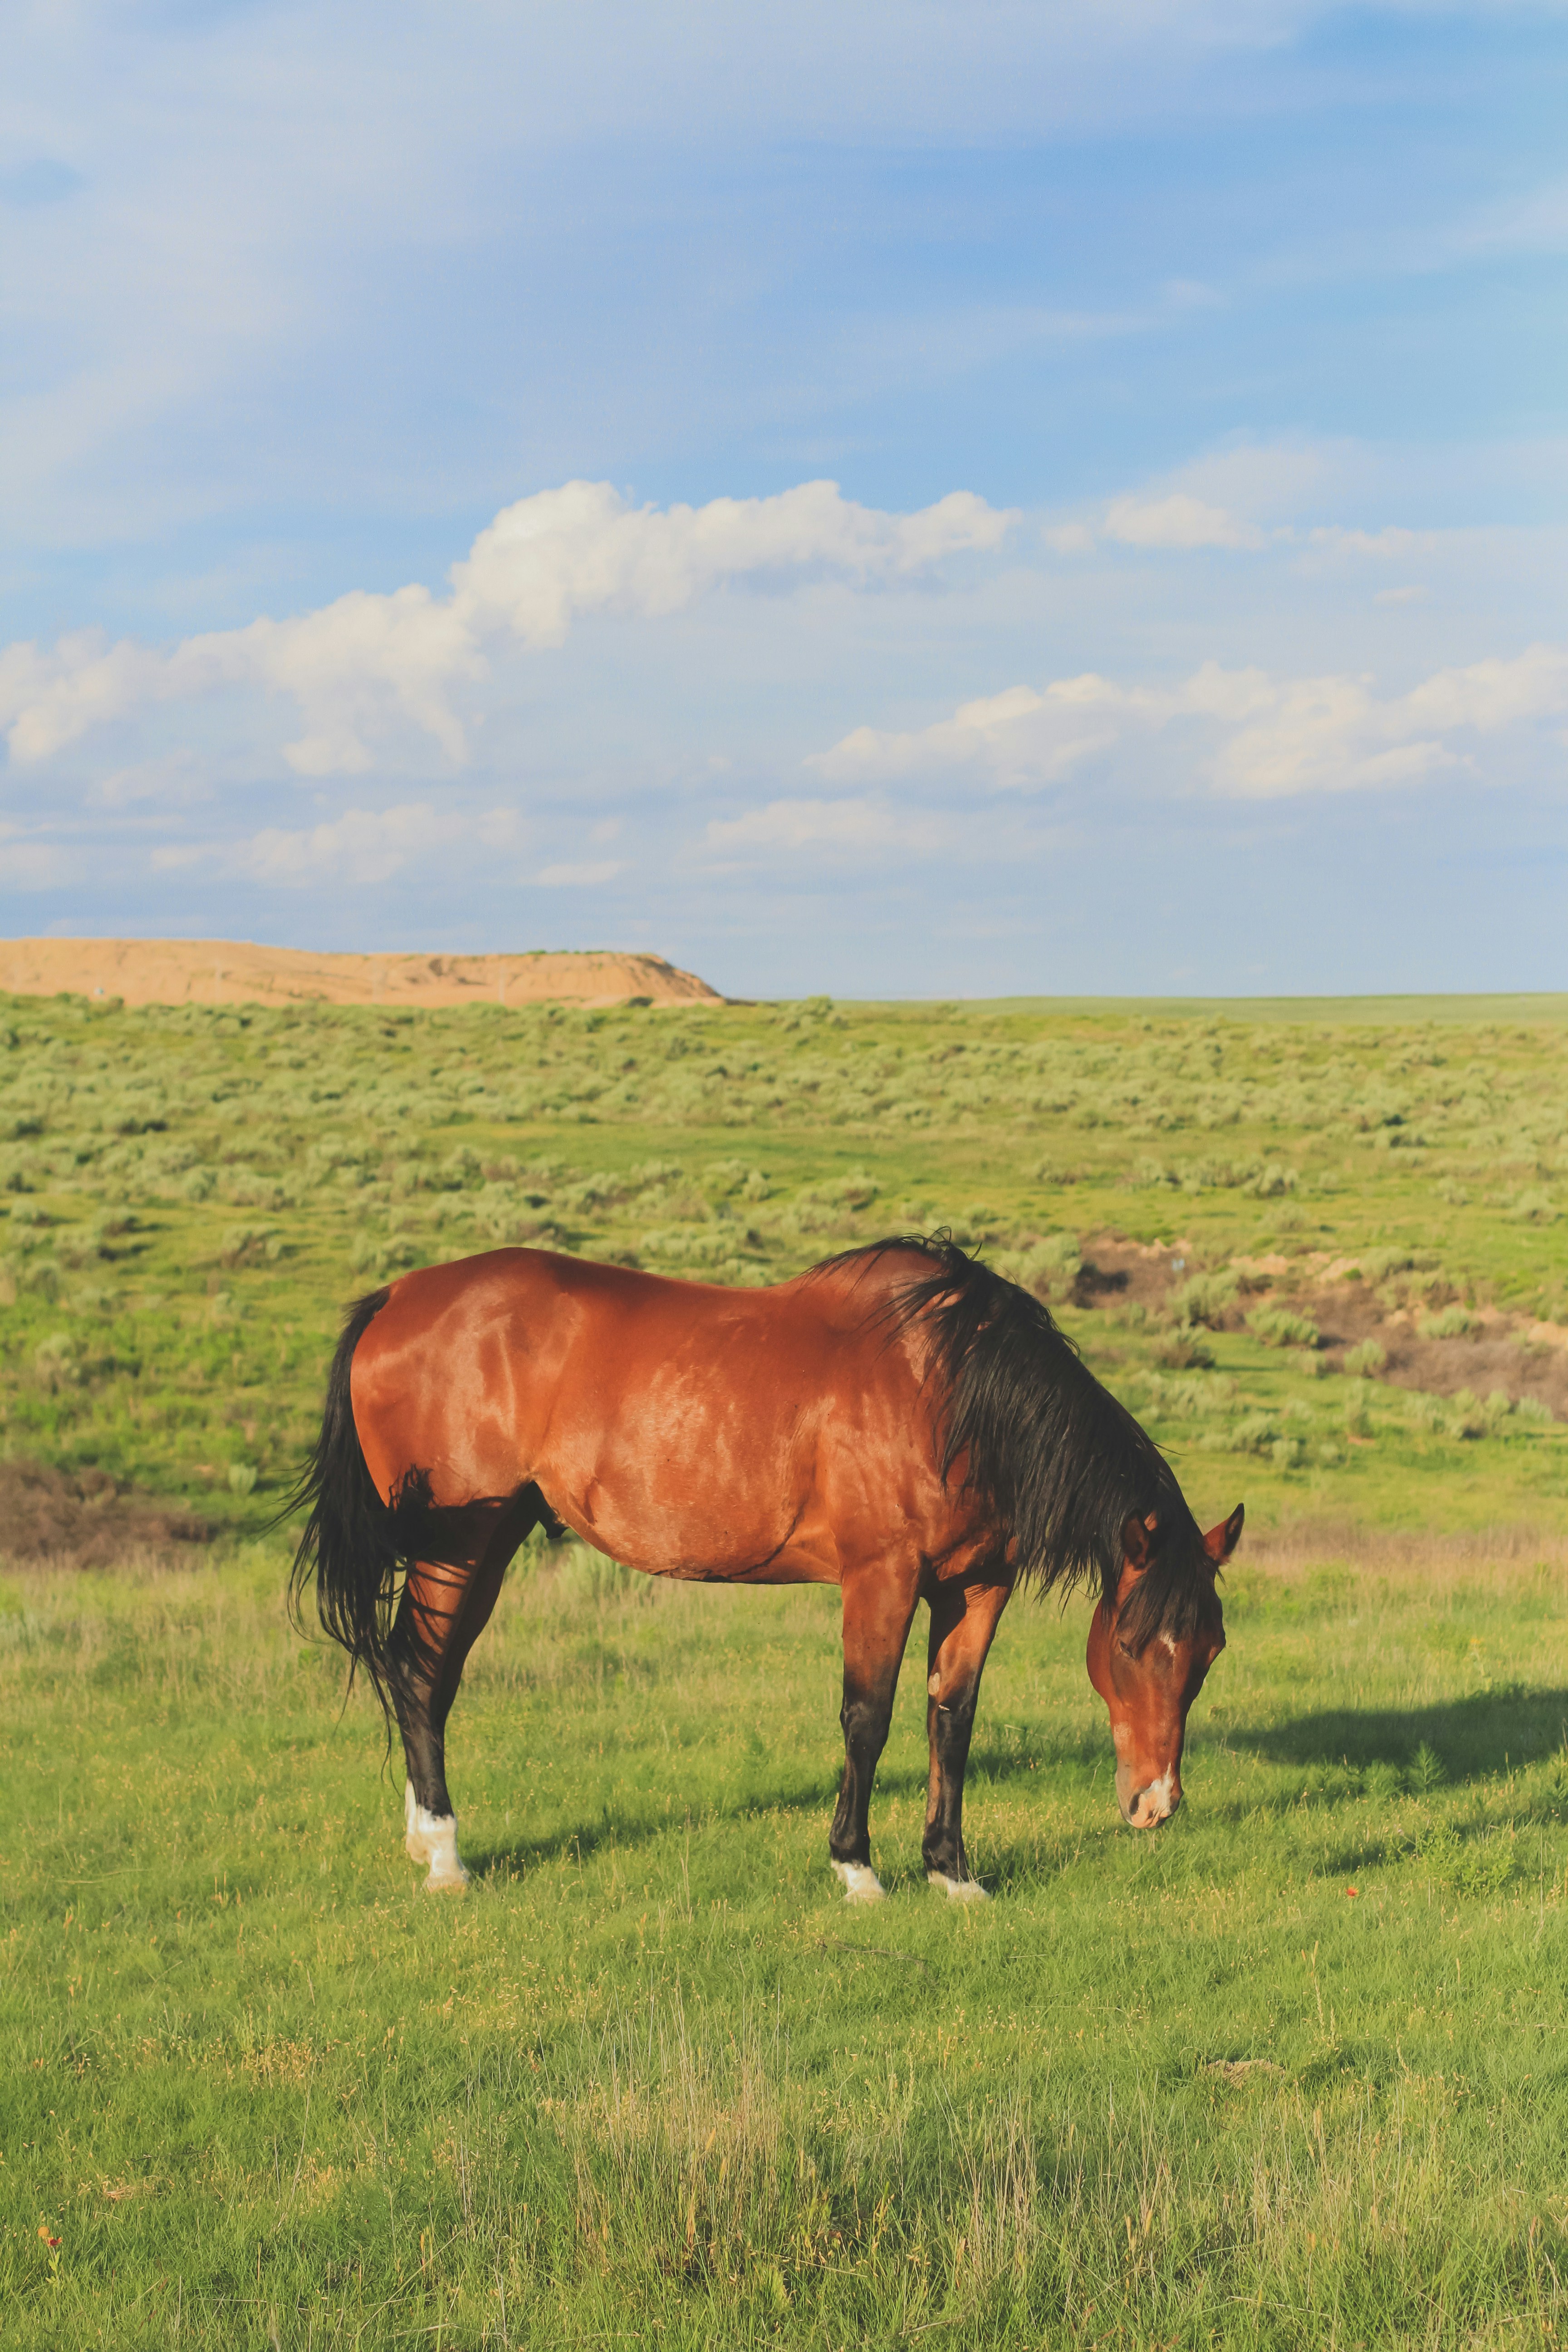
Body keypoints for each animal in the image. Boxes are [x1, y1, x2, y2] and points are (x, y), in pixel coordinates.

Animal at [290, 1235, 1240, 1898]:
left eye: (1208, 1652)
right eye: (1132, 1643)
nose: (1157, 1803)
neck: (950, 1388)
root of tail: (397, 1296)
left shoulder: (976, 1586)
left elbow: (952, 1718)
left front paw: (952, 1869)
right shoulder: (882, 1577)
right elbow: (867, 1717)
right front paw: (857, 1867)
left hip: (490, 1539)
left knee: (428, 1674)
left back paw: (424, 1836)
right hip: (459, 1544)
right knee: (420, 1673)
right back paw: (445, 1854)